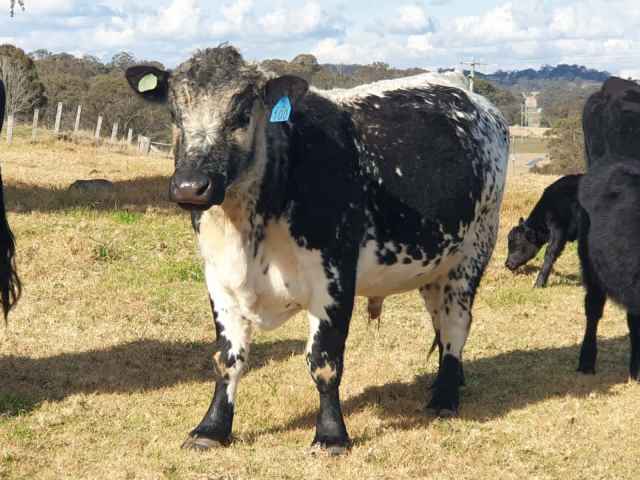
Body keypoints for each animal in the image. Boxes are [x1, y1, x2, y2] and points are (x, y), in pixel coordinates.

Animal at [126, 46, 509, 453]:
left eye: (242, 114)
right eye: (173, 113)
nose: (190, 186)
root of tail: (466, 91)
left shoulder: (334, 280)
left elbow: (324, 362)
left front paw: (330, 435)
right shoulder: (218, 278)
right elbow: (227, 359)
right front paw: (211, 428)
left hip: (473, 252)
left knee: (455, 323)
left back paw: (445, 397)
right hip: (435, 264)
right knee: (439, 318)